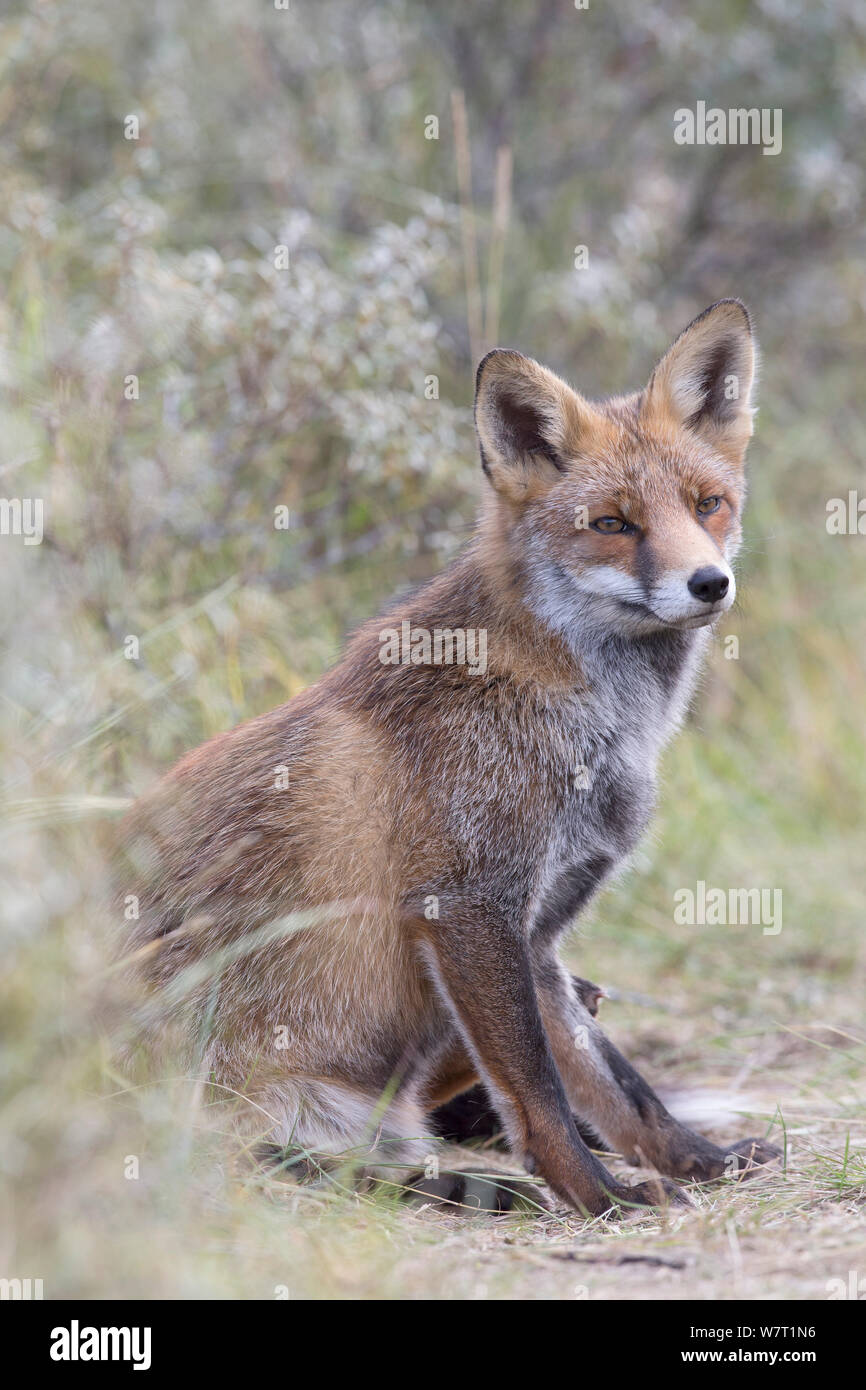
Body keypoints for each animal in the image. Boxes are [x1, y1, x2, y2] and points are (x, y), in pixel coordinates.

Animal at [120, 299, 780, 1216]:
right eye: (613, 524)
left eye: (708, 504)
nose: (709, 583)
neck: (602, 726)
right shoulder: (468, 905)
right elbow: (540, 1092)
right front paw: (598, 1196)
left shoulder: (538, 931)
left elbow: (618, 1086)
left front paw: (698, 1161)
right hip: (265, 1102)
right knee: (312, 1168)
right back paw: (476, 1185)